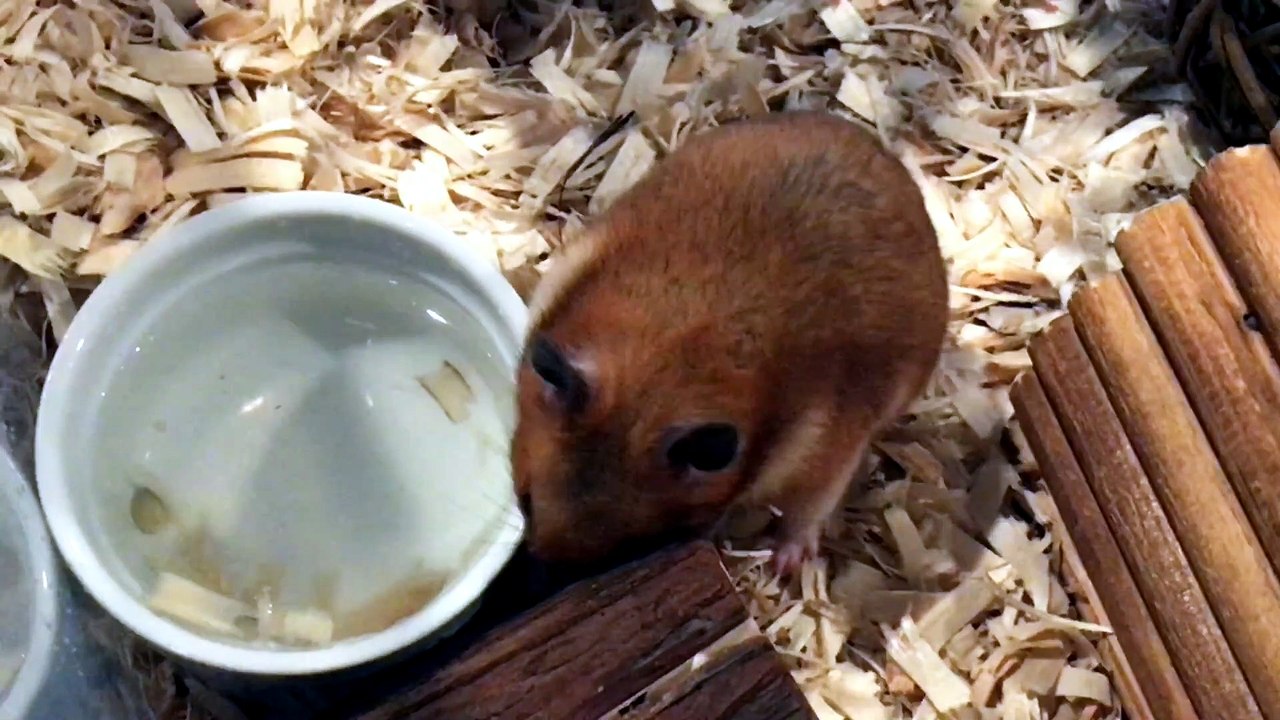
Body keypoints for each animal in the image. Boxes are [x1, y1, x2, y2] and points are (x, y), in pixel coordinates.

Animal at [510, 111, 948, 574]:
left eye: (624, 547)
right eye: (526, 501)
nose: (538, 563)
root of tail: (882, 154)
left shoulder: (834, 442)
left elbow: (809, 508)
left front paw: (785, 565)